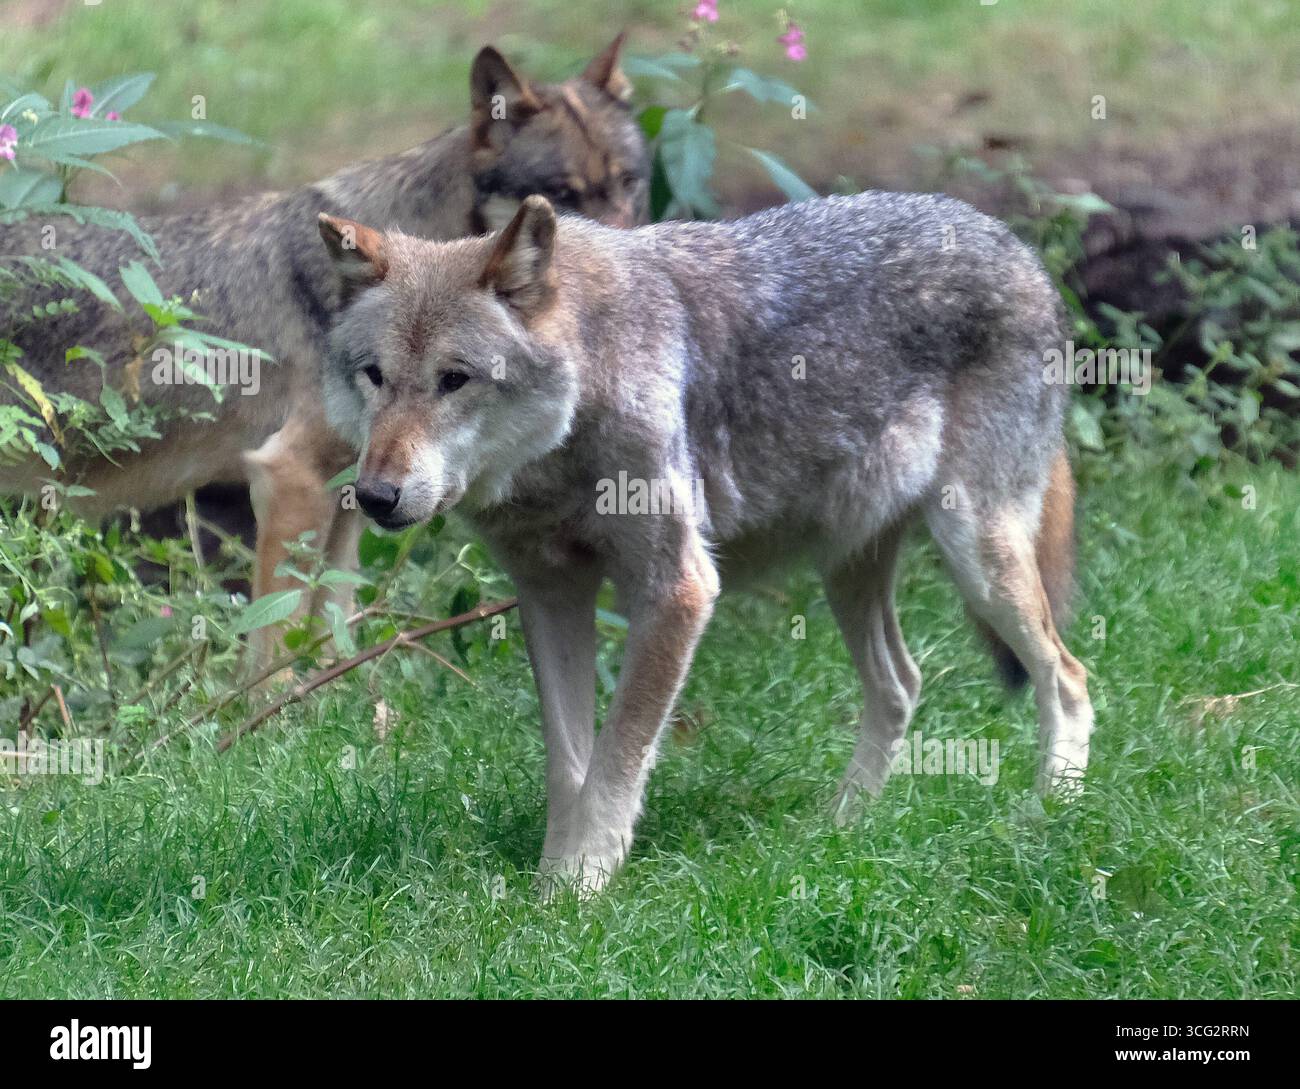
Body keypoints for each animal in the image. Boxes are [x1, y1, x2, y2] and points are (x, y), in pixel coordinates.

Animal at [0, 36, 647, 647]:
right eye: (563, 194)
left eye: (629, 182)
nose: (625, 284)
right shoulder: (289, 480)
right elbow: (276, 656)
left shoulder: (357, 499)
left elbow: (326, 640)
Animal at [317, 191, 1096, 895]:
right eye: (375, 376)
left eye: (455, 379)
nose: (376, 496)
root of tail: (1018, 247)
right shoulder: (549, 595)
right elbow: (570, 766)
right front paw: (548, 887)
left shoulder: (678, 589)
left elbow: (616, 762)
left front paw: (576, 894)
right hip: (847, 569)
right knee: (902, 684)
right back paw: (842, 833)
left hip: (978, 557)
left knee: (1067, 675)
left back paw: (1045, 815)